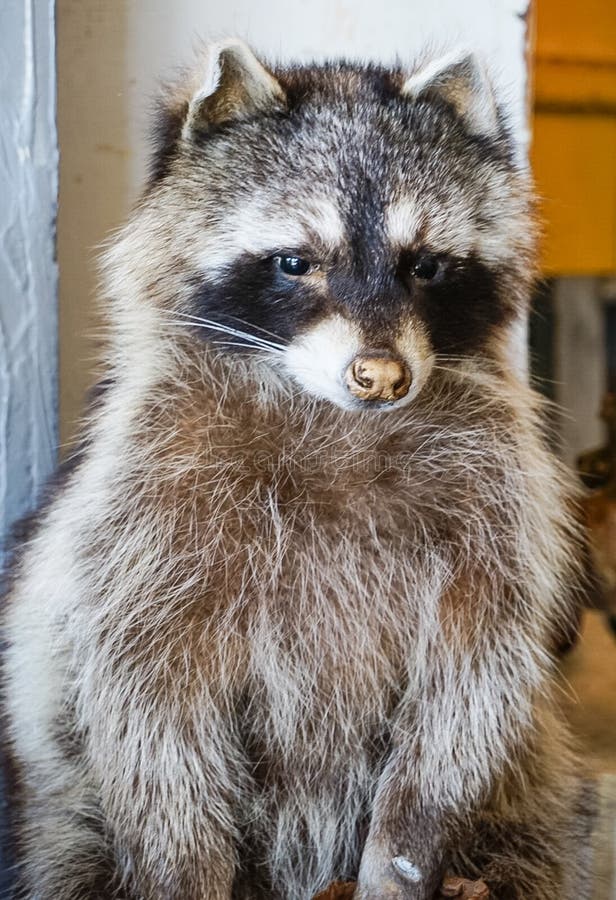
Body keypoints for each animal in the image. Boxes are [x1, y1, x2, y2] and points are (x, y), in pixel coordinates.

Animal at [2, 40, 595, 900]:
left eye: (426, 266)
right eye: (295, 262)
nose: (380, 376)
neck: (335, 416)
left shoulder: (498, 502)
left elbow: (468, 690)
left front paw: (403, 856)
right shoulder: (141, 509)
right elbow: (146, 699)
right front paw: (184, 868)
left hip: (534, 793)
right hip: (61, 802)